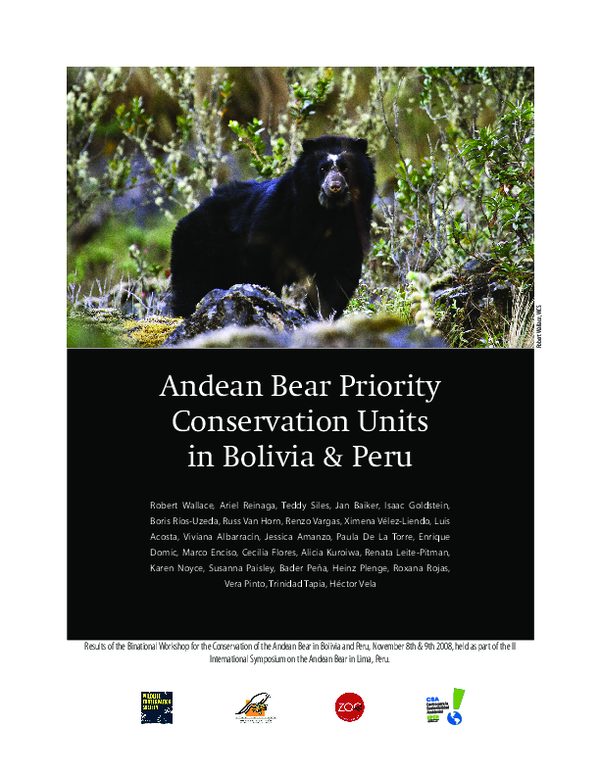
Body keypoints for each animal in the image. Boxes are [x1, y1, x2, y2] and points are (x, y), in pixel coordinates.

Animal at [169, 135, 375, 319]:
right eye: (322, 168)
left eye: (345, 168)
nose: (335, 186)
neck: (326, 214)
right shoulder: (278, 217)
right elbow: (262, 261)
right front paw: (264, 297)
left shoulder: (350, 228)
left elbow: (338, 273)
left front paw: (323, 315)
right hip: (199, 250)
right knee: (190, 287)